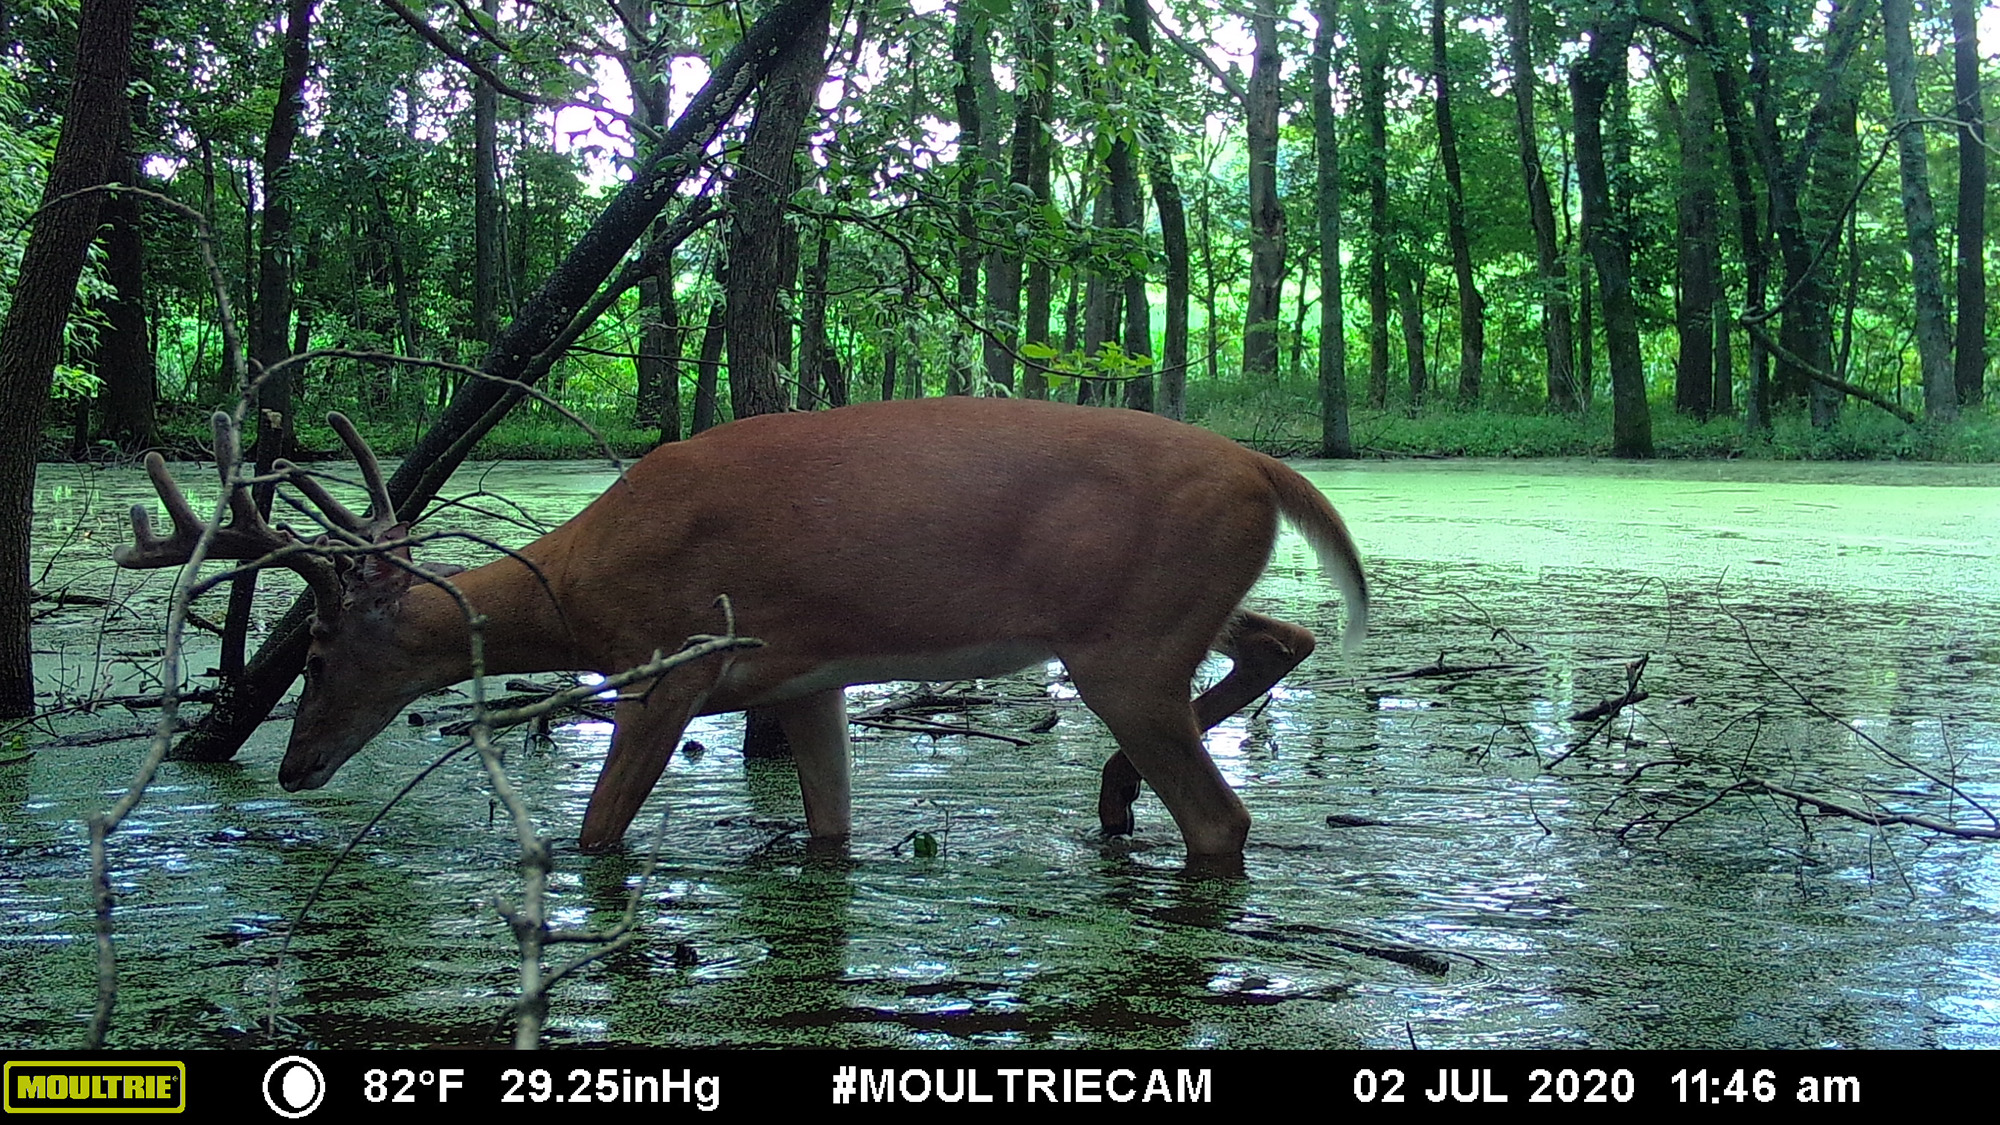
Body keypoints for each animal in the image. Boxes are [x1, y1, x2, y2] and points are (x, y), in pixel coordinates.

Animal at [115, 396, 1367, 857]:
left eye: (321, 649)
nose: (292, 768)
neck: (576, 587)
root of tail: (1265, 466)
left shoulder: (666, 661)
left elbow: (597, 833)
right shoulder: (800, 677)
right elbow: (828, 829)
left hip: (1125, 638)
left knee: (1221, 816)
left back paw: (1135, 798)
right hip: (1159, 614)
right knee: (1283, 640)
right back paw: (1111, 793)